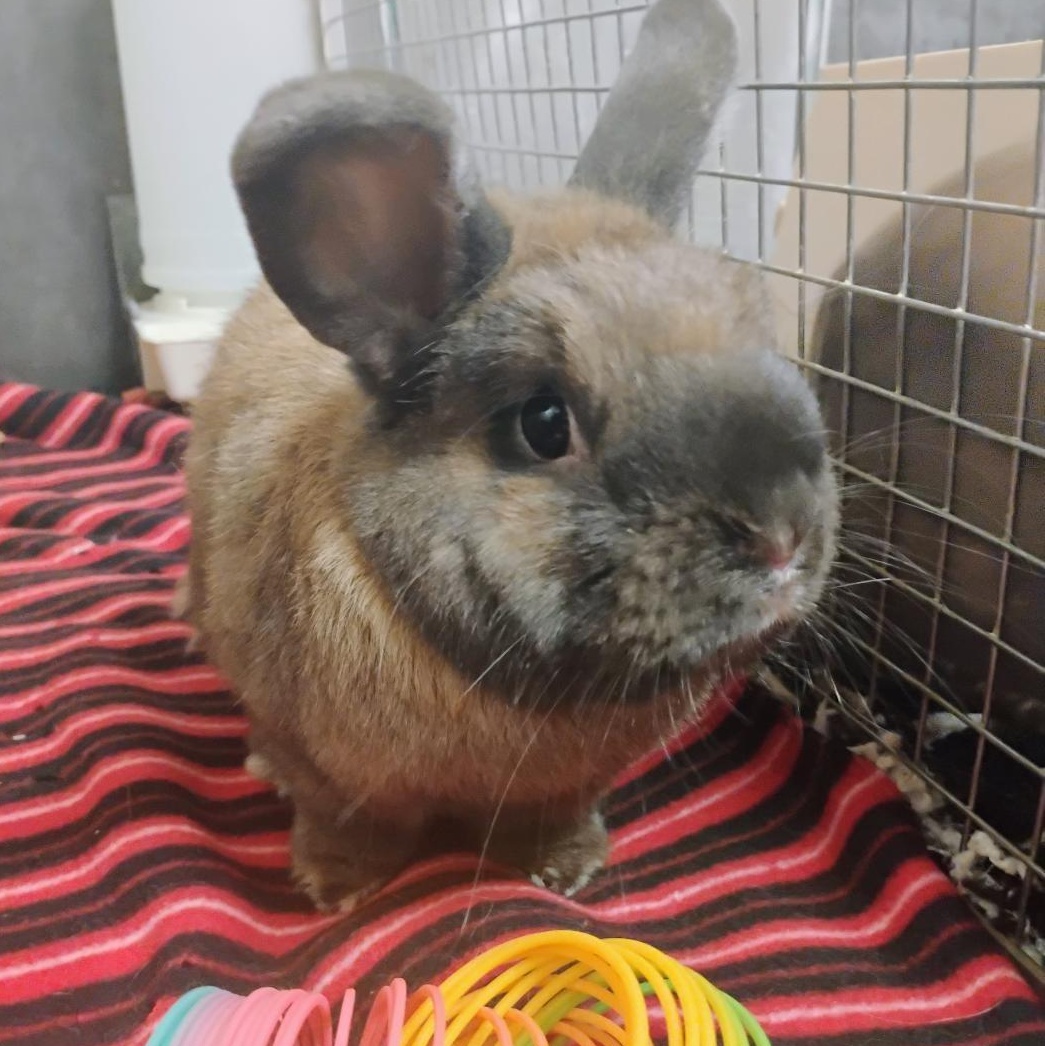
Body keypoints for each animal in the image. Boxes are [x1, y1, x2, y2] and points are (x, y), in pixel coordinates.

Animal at [181, 0, 839, 912]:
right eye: (544, 423)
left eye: (761, 336)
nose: (780, 539)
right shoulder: (331, 778)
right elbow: (345, 826)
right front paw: (336, 892)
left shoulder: (562, 786)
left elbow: (551, 819)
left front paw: (563, 870)